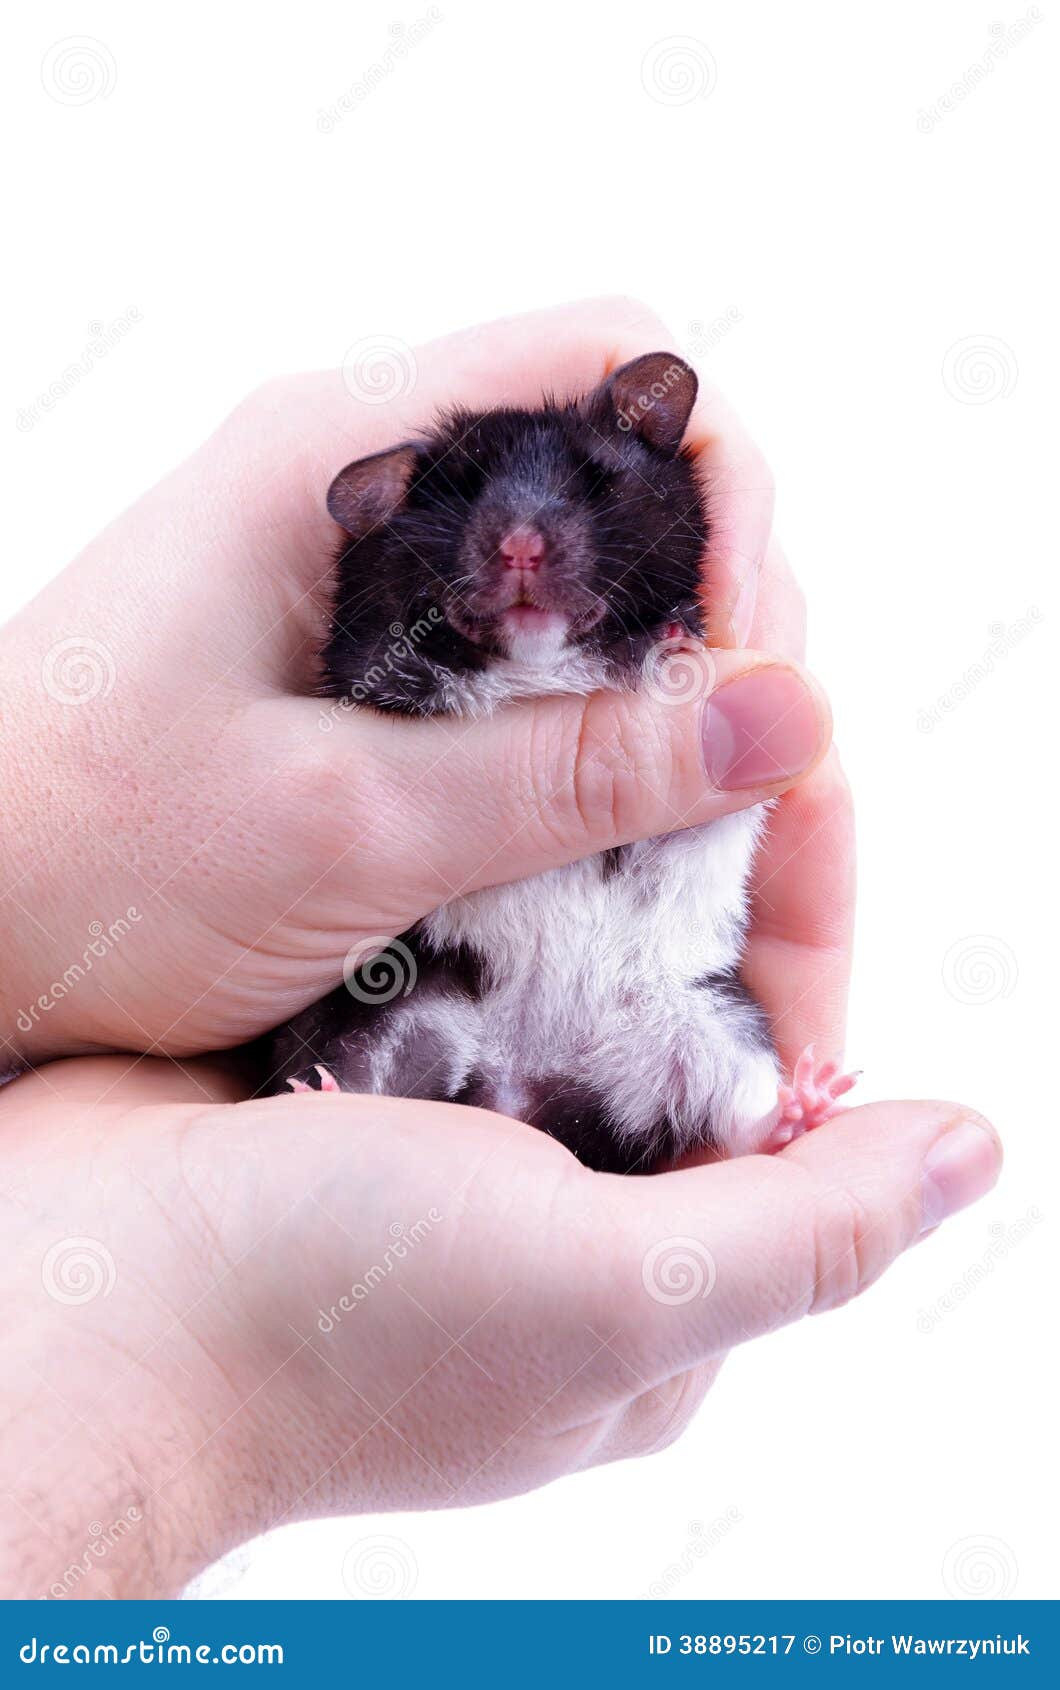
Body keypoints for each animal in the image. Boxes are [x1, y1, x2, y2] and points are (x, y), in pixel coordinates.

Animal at [266, 353, 853, 1172]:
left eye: (594, 478)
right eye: (460, 490)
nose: (520, 548)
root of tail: (524, 1092)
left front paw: (671, 642)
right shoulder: (365, 671)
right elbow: (417, 672)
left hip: (712, 1020)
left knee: (747, 1119)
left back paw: (813, 1099)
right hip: (387, 1017)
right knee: (366, 1078)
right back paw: (323, 1099)